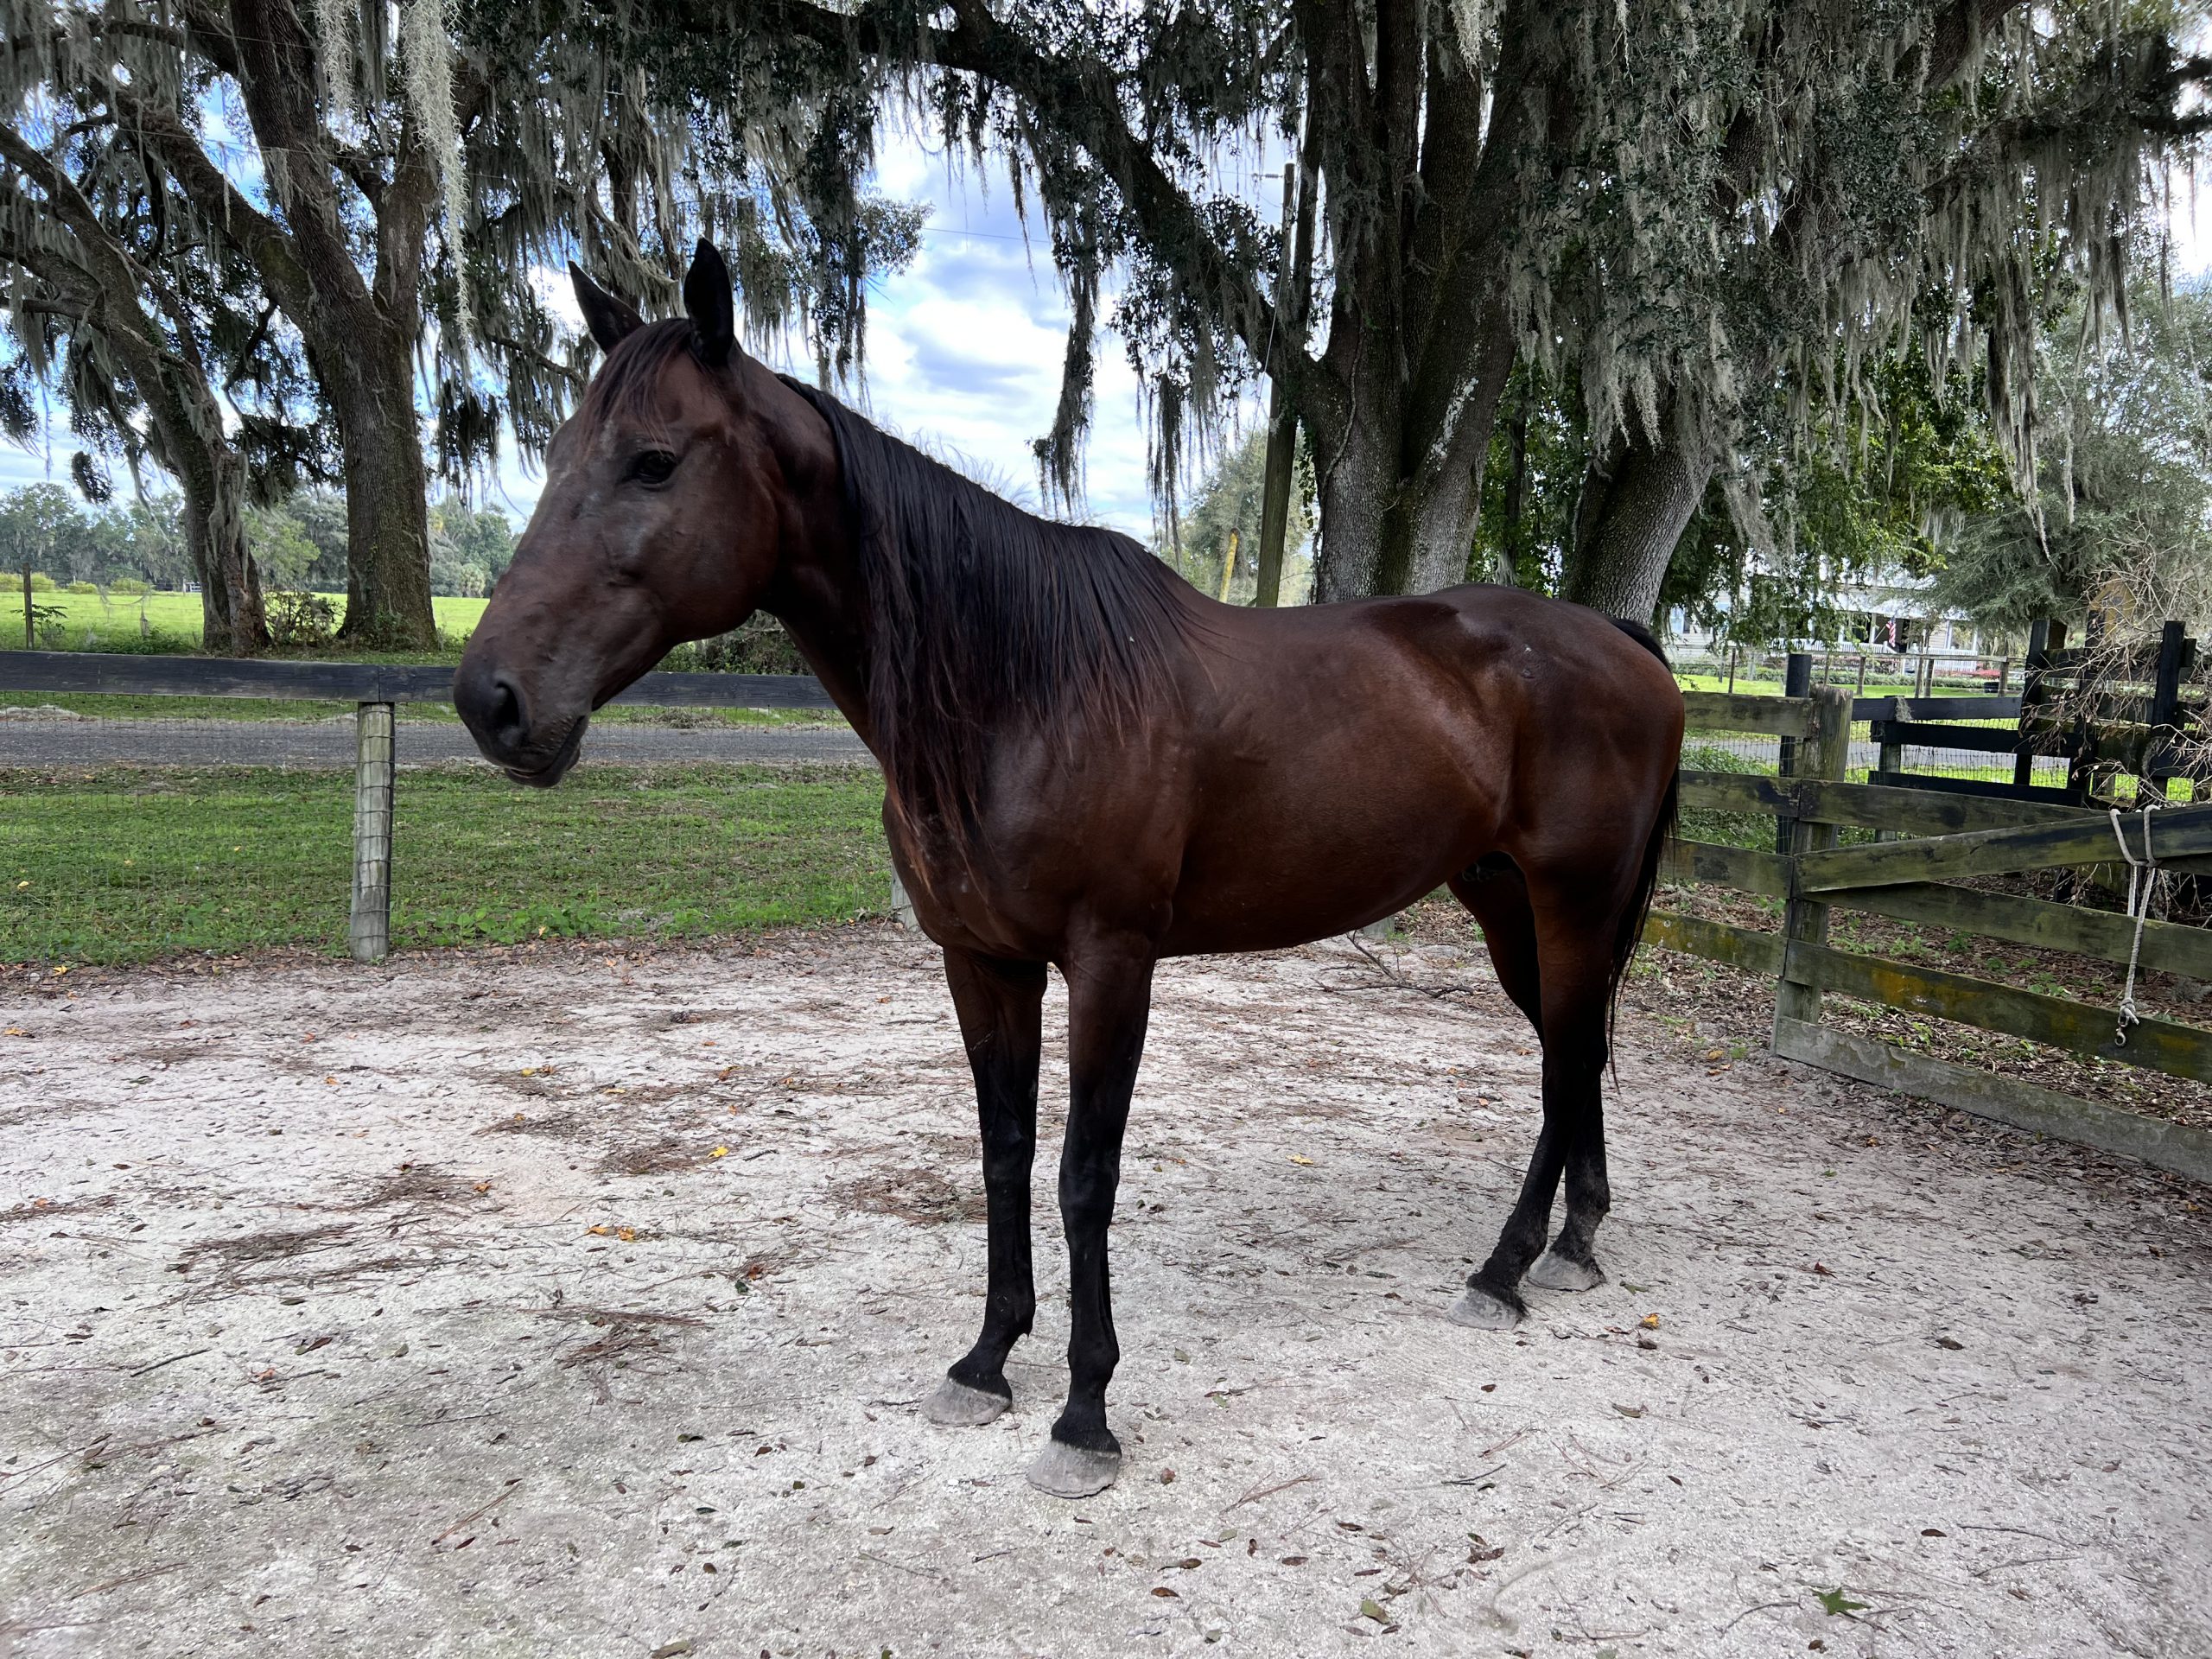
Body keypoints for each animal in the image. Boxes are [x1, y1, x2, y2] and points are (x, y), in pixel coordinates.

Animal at [455, 239, 1685, 1499]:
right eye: (556, 456)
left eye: (654, 461)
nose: (492, 701)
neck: (1025, 692)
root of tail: (1621, 642)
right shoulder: (982, 962)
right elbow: (1004, 1157)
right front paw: (988, 1360)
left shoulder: (1110, 962)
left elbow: (1082, 1174)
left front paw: (1085, 1412)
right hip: (1507, 908)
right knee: (1571, 1055)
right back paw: (1571, 1244)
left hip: (1568, 902)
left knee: (1566, 1059)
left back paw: (1504, 1270)